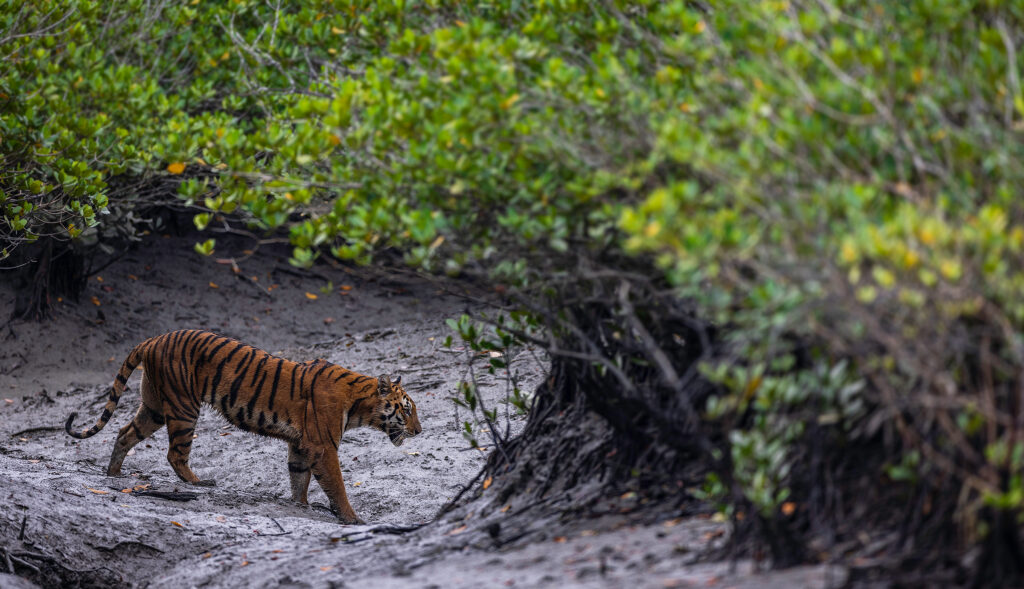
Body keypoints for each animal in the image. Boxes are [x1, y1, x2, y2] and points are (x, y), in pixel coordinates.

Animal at [64, 329, 423, 524]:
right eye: (406, 409)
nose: (419, 431)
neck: (360, 404)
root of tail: (152, 339)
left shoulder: (301, 444)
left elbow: (299, 477)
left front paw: (301, 506)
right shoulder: (323, 446)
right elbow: (337, 485)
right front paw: (352, 518)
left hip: (153, 407)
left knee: (124, 434)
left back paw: (114, 474)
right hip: (183, 408)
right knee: (174, 453)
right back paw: (199, 482)